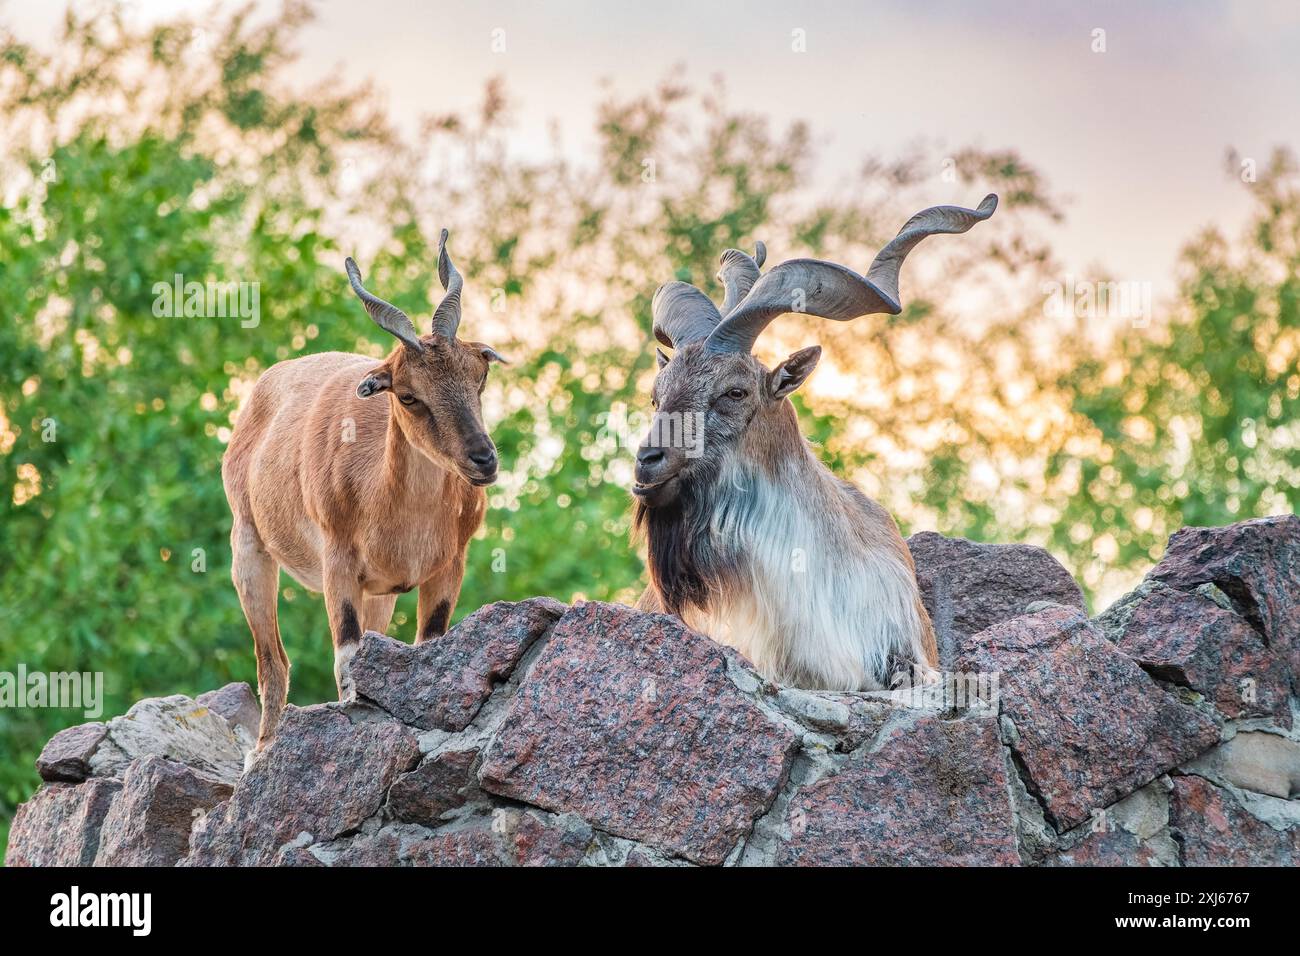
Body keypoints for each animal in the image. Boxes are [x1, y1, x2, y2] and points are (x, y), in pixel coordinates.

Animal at [222, 231, 507, 755]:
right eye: (408, 395)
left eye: (478, 377)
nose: (483, 460)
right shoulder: (338, 564)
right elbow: (347, 658)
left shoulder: (447, 568)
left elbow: (426, 648)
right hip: (249, 547)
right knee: (272, 661)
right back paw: (262, 752)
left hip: (380, 593)